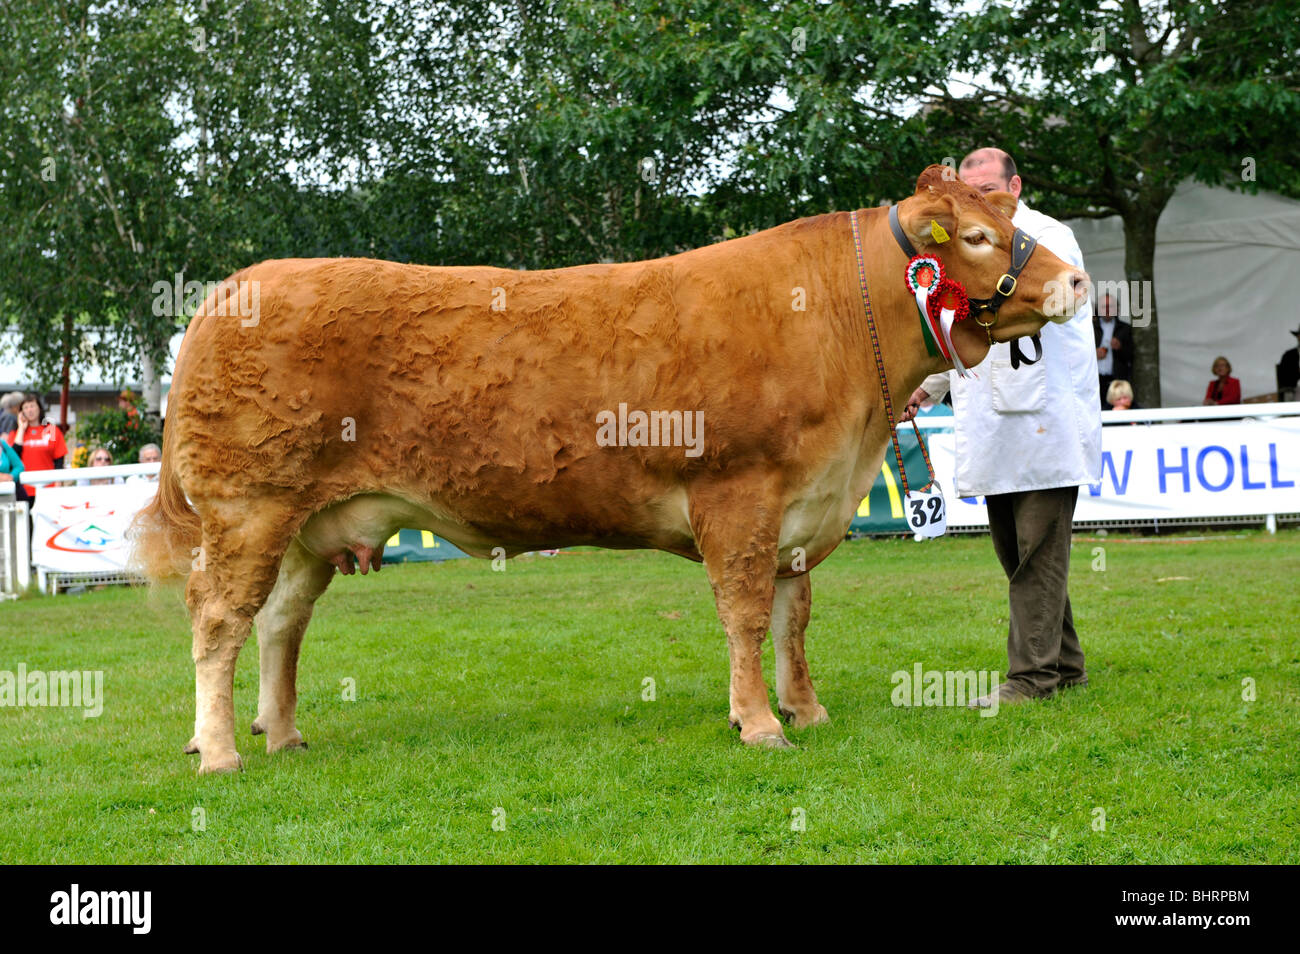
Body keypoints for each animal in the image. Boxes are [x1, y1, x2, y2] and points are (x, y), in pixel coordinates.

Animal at [132, 166, 1089, 774]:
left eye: (1013, 226)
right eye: (977, 235)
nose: (1079, 282)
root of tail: (230, 291)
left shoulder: (801, 512)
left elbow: (794, 620)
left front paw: (805, 711)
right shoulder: (739, 496)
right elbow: (746, 616)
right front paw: (759, 726)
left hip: (305, 525)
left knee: (278, 625)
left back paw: (283, 735)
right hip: (249, 508)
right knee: (218, 622)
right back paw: (221, 752)